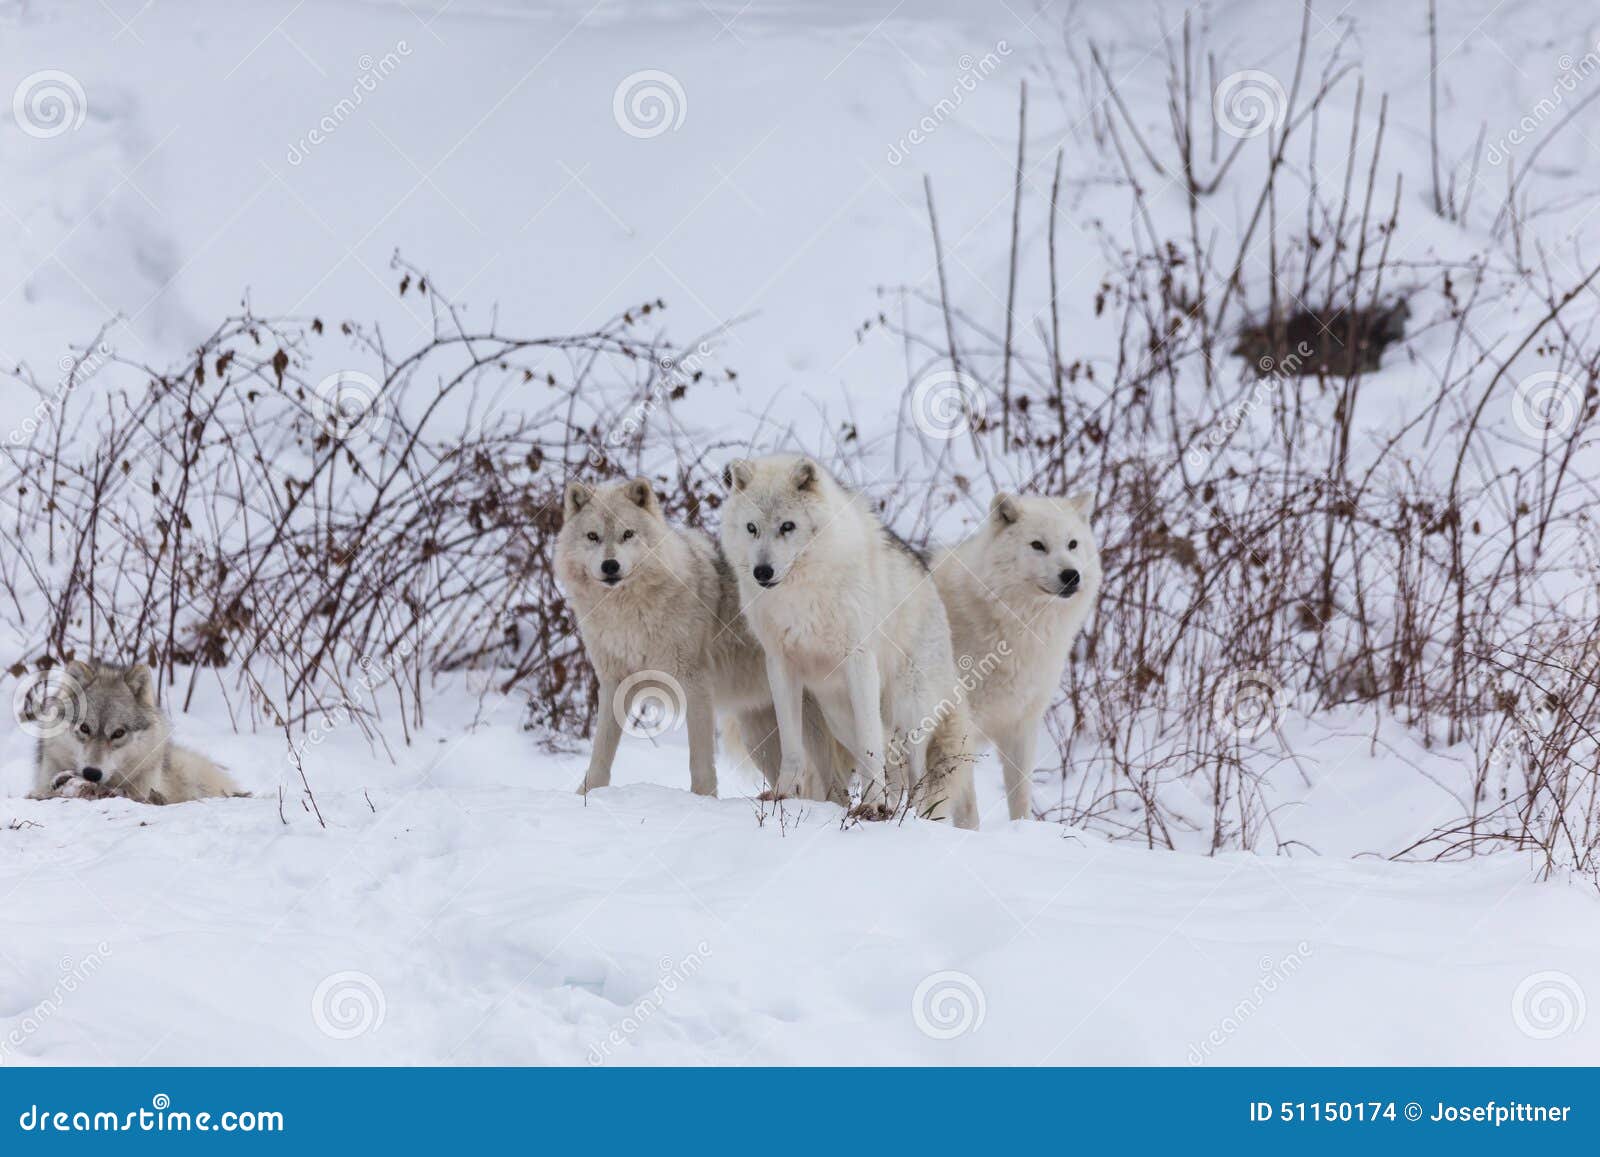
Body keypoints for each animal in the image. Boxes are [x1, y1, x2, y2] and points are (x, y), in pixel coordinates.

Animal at [554, 477, 845, 803]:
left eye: (628, 534)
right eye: (592, 536)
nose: (610, 566)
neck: (627, 614)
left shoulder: (695, 685)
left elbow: (700, 760)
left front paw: (703, 801)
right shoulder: (613, 684)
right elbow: (600, 755)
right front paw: (587, 795)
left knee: (839, 788)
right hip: (759, 737)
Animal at [720, 454, 978, 828]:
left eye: (787, 526)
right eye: (751, 528)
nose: (762, 572)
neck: (800, 593)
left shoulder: (859, 660)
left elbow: (871, 752)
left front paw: (871, 805)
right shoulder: (780, 666)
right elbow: (792, 746)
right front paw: (782, 796)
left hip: (907, 708)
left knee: (917, 775)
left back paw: (910, 817)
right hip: (840, 717)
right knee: (894, 766)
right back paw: (893, 809)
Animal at [931, 492, 1101, 822]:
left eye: (1072, 544)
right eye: (1038, 545)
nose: (1071, 575)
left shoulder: (1022, 724)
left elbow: (1021, 796)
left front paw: (1023, 830)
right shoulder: (962, 727)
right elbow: (967, 809)